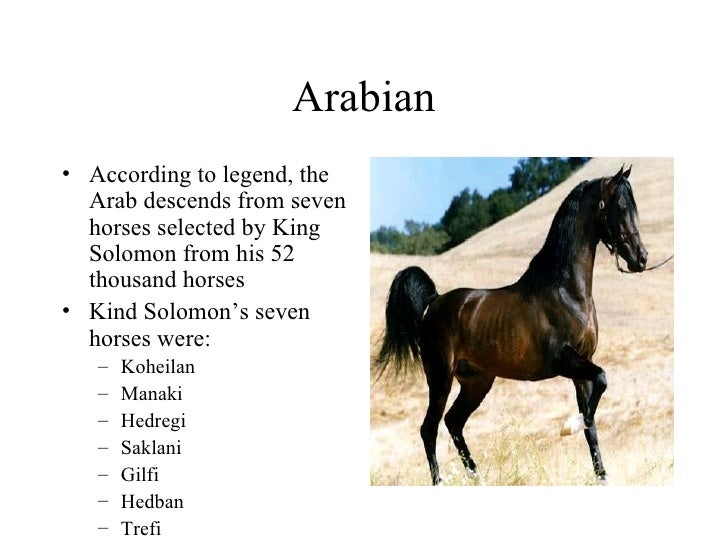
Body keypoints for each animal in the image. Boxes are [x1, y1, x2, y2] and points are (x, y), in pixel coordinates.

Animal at [376, 165, 648, 485]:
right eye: (620, 207)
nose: (641, 258)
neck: (565, 290)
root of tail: (436, 300)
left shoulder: (583, 364)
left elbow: (591, 422)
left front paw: (601, 475)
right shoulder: (563, 360)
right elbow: (601, 382)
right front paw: (569, 426)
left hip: (477, 381)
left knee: (453, 422)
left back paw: (477, 476)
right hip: (440, 377)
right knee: (429, 428)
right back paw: (441, 481)